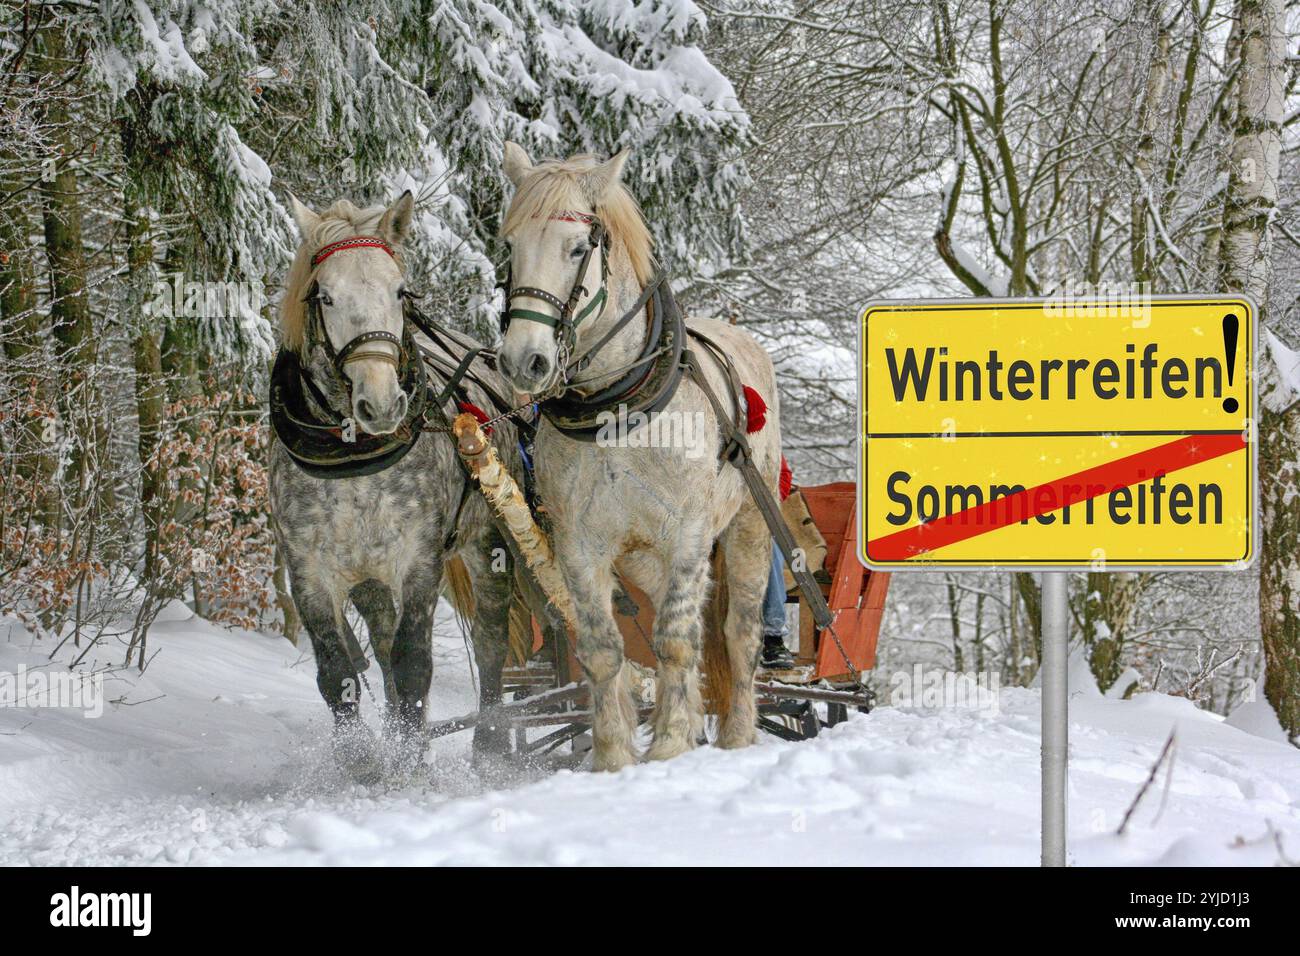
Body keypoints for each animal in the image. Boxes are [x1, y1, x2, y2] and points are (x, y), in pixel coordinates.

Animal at [268, 191, 521, 779]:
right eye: (325, 296)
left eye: (400, 291)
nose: (382, 404)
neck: (352, 456)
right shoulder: (309, 571)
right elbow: (337, 673)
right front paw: (364, 760)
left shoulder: (419, 559)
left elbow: (413, 663)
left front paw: (410, 762)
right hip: (369, 578)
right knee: (381, 646)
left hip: (487, 542)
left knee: (491, 639)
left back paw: (490, 743)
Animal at [495, 144, 782, 771]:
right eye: (510, 246)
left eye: (578, 248)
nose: (524, 361)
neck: (616, 412)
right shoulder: (579, 545)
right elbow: (604, 648)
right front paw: (613, 755)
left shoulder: (690, 534)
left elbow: (676, 639)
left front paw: (670, 744)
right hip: (645, 557)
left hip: (749, 524)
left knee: (737, 631)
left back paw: (737, 733)